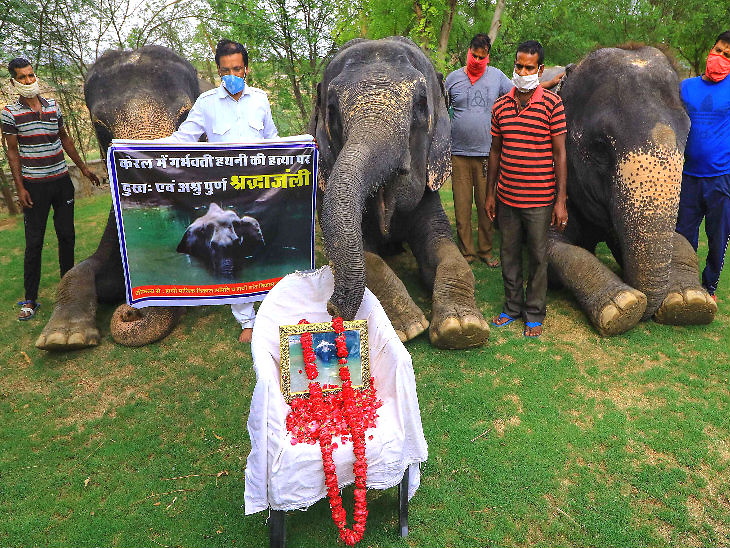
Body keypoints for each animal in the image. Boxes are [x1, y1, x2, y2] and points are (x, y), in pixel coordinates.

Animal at [311, 36, 490, 349]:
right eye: (331, 108)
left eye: (420, 103)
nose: (331, 308)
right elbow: (366, 257)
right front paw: (409, 328)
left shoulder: (429, 191)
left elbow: (445, 248)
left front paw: (462, 329)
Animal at [547, 45, 717, 336]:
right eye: (600, 146)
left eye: (688, 137)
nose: (650, 313)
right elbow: (551, 248)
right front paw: (622, 306)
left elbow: (680, 240)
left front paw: (690, 302)